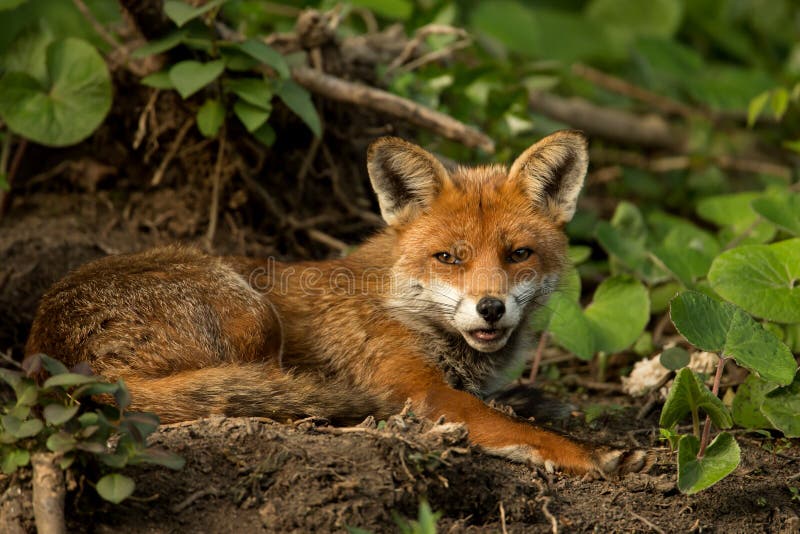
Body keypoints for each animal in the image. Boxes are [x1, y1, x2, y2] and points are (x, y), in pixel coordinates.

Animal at [25, 130, 650, 476]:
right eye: (448, 258)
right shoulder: (418, 389)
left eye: (518, 253)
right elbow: (503, 424)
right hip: (253, 316)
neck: (405, 308)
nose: (490, 308)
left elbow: (506, 406)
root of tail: (51, 357)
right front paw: (587, 453)